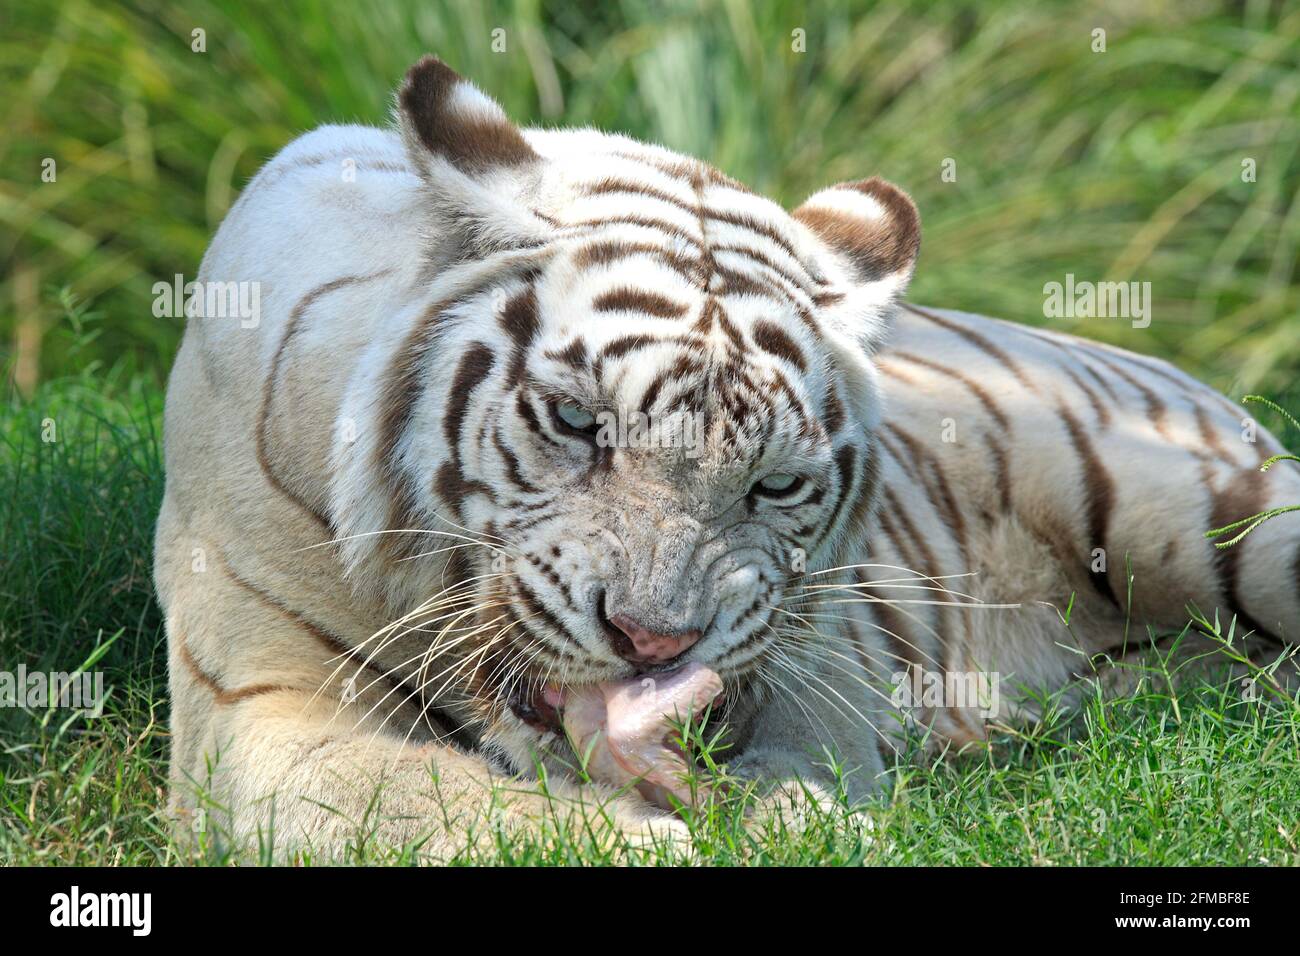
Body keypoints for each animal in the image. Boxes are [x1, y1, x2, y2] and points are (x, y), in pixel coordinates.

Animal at [154, 55, 1300, 858]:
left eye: (775, 483)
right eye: (576, 422)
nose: (654, 644)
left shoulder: (815, 652)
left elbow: (802, 753)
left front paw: (800, 823)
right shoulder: (257, 708)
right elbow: (419, 802)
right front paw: (636, 841)